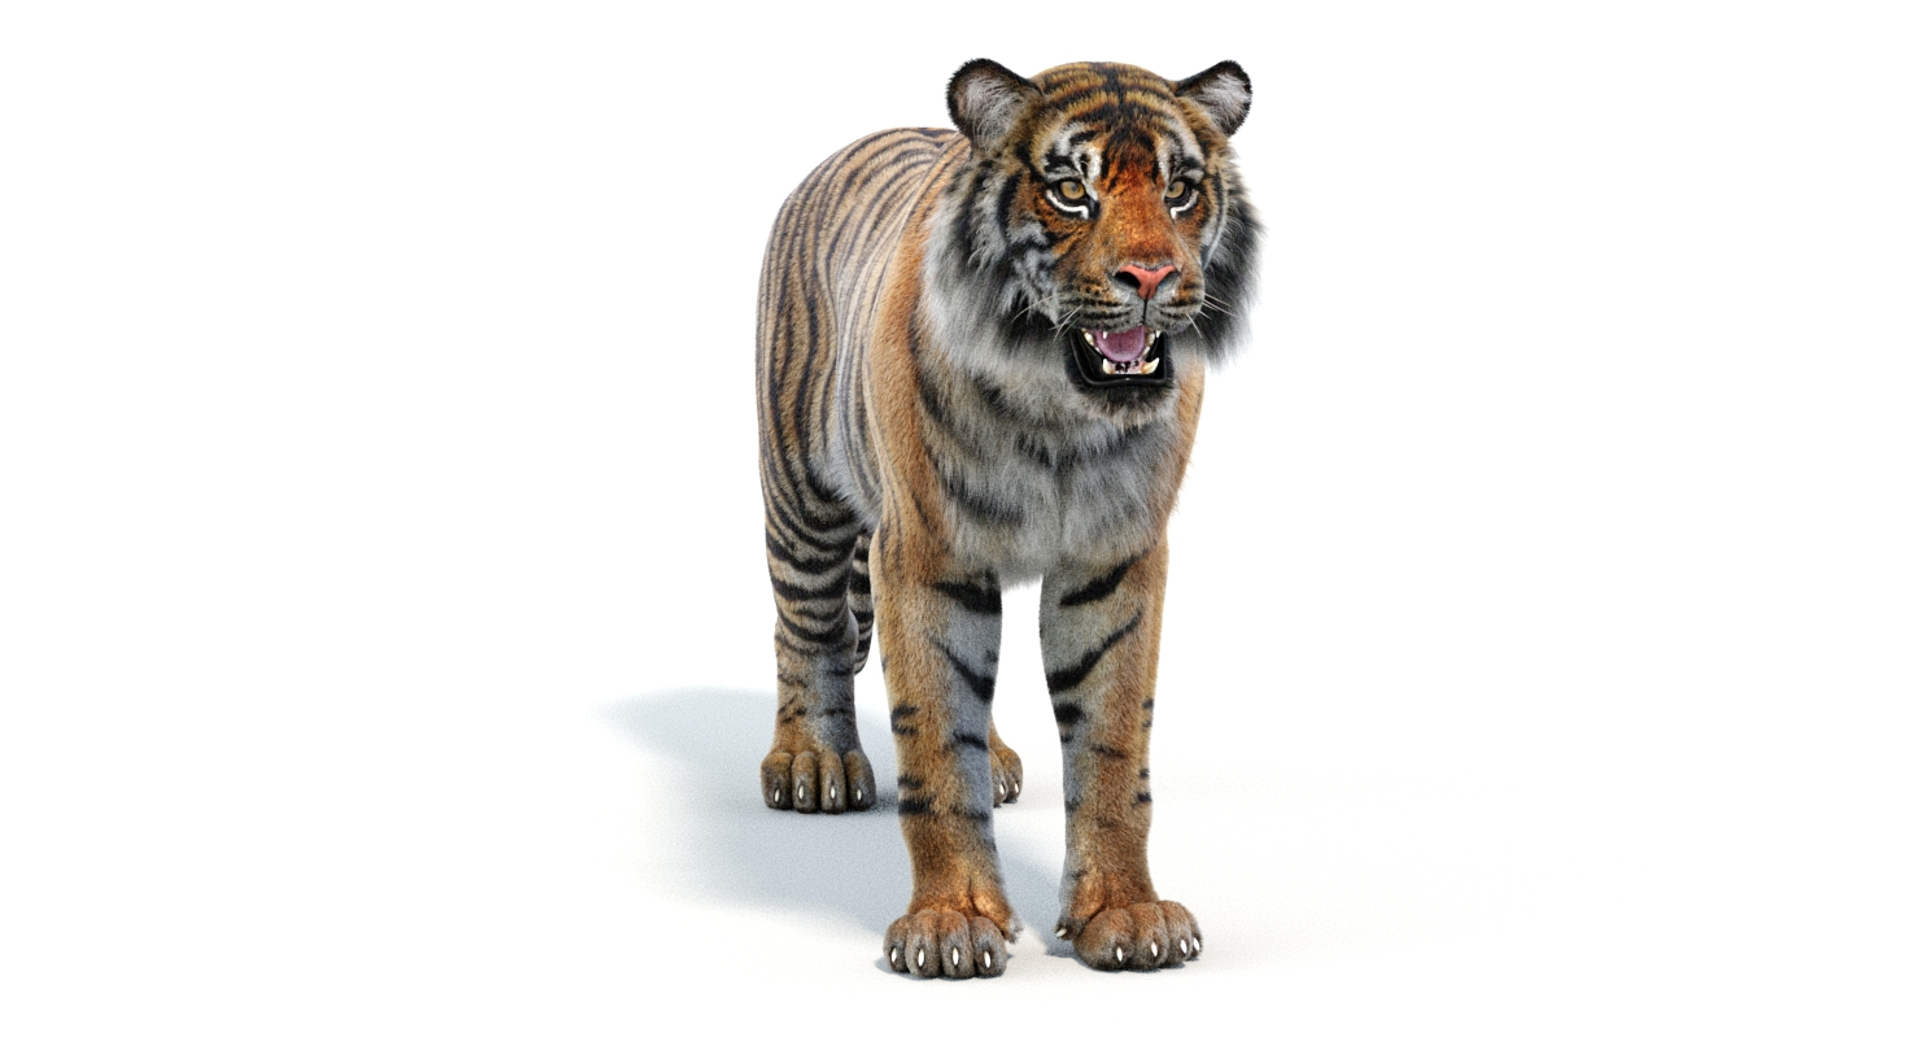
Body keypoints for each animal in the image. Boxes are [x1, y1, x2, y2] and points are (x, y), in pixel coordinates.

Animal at [754, 58, 1259, 977]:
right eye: (1070, 192)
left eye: (1180, 191)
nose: (1152, 278)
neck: (1055, 409)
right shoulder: (924, 552)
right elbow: (932, 743)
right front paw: (951, 923)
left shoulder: (1116, 558)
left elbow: (1112, 744)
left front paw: (1124, 913)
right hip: (800, 496)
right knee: (807, 630)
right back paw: (814, 762)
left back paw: (990, 761)